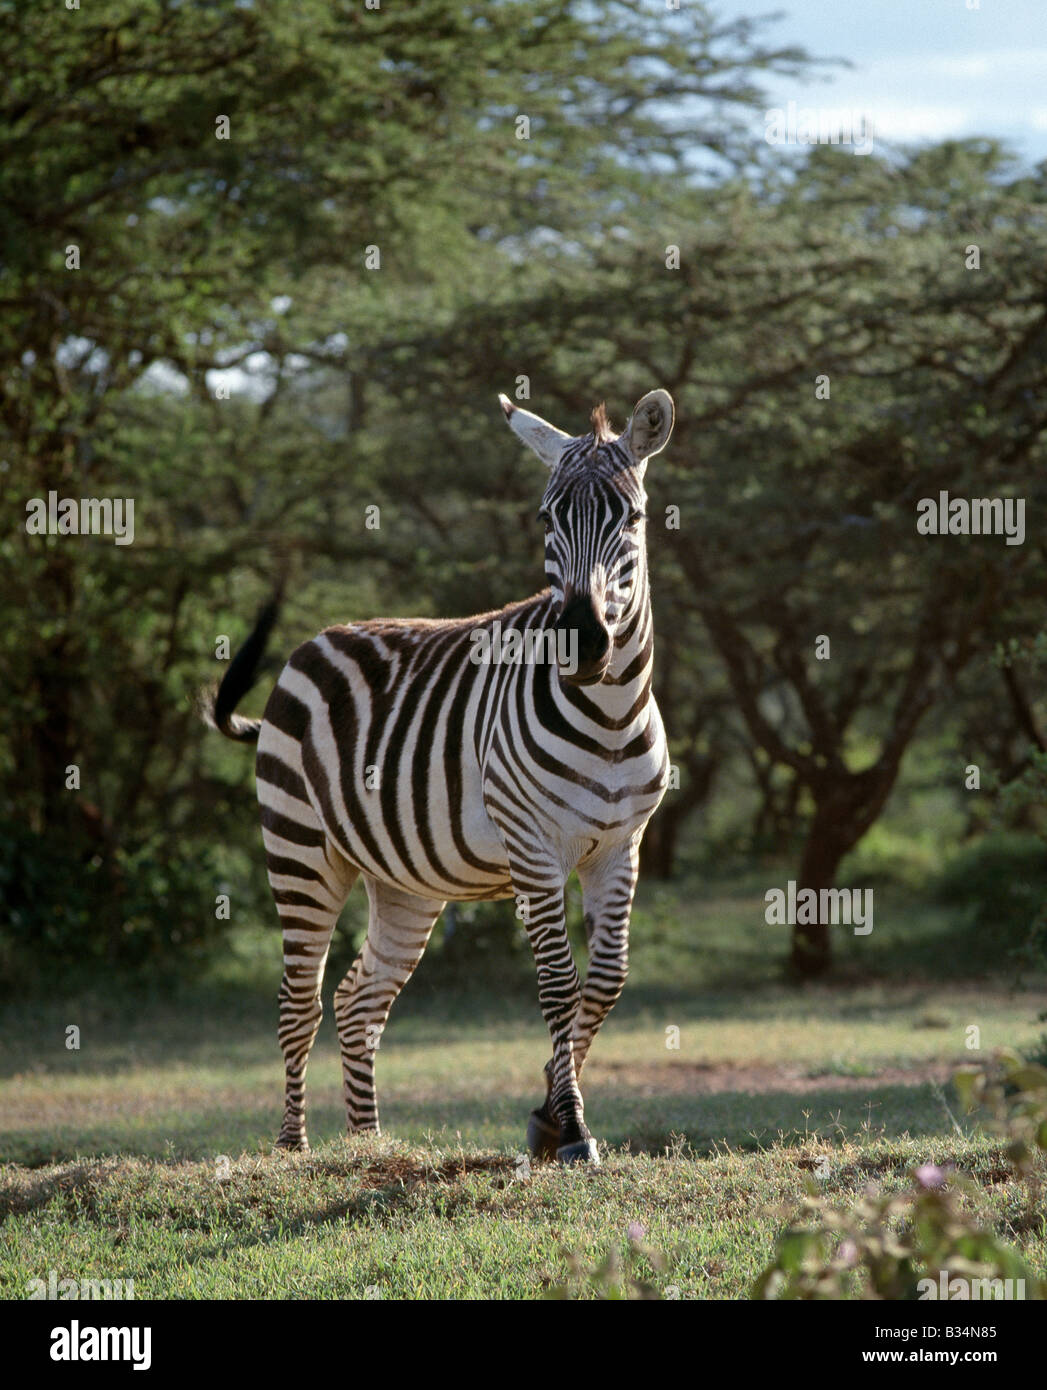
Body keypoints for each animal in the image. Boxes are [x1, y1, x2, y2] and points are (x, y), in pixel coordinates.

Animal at [205, 389, 674, 1164]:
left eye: (632, 518)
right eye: (546, 518)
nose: (580, 642)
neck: (607, 714)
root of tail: (316, 640)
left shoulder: (620, 847)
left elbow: (605, 982)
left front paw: (548, 1115)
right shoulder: (534, 848)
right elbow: (558, 984)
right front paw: (572, 1129)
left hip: (403, 881)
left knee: (358, 1001)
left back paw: (367, 1146)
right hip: (300, 851)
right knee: (299, 1001)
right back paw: (293, 1146)